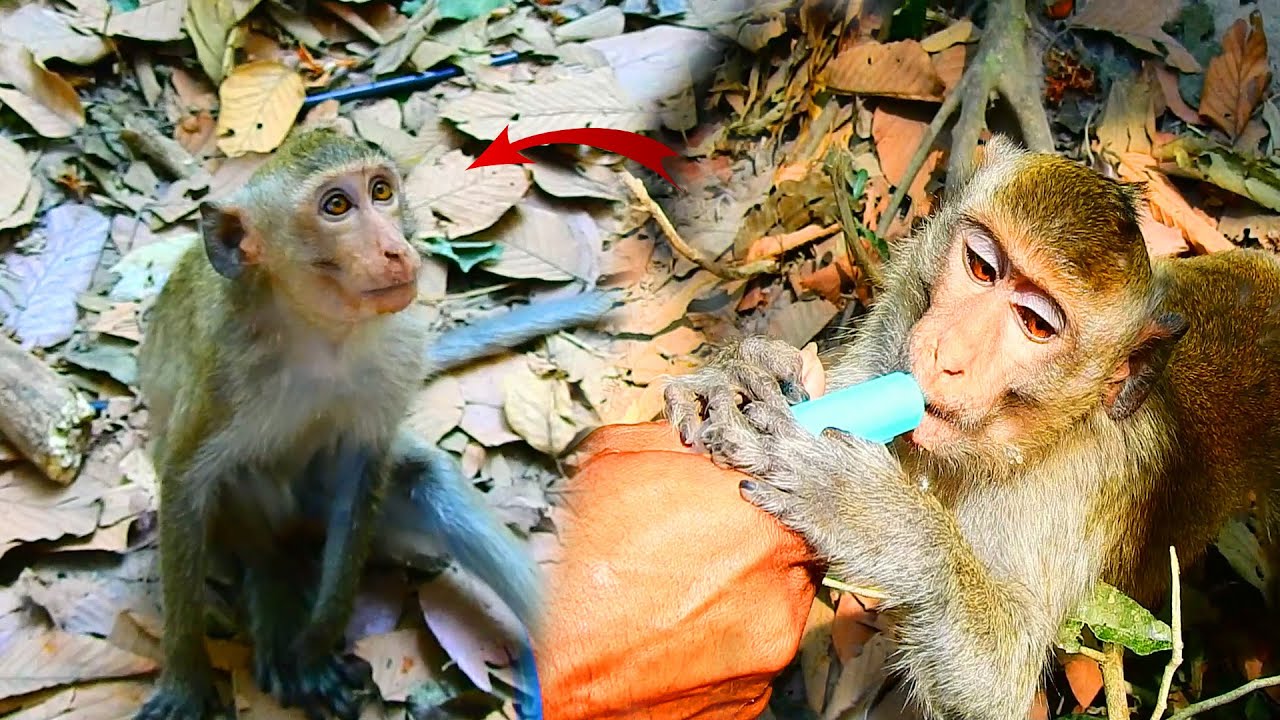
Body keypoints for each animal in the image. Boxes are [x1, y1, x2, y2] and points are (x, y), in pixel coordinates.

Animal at [133, 127, 614, 720]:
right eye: (336, 206)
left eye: (381, 191)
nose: (396, 248)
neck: (319, 332)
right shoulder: (221, 376)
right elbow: (184, 479)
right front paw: (185, 677)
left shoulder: (399, 347)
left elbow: (364, 469)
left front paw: (316, 647)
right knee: (245, 484)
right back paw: (272, 588)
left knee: (425, 480)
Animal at [663, 136, 1280, 719]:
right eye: (982, 266)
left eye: (1035, 324)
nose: (947, 355)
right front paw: (741, 373)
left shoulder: (1074, 489)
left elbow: (996, 682)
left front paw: (871, 515)